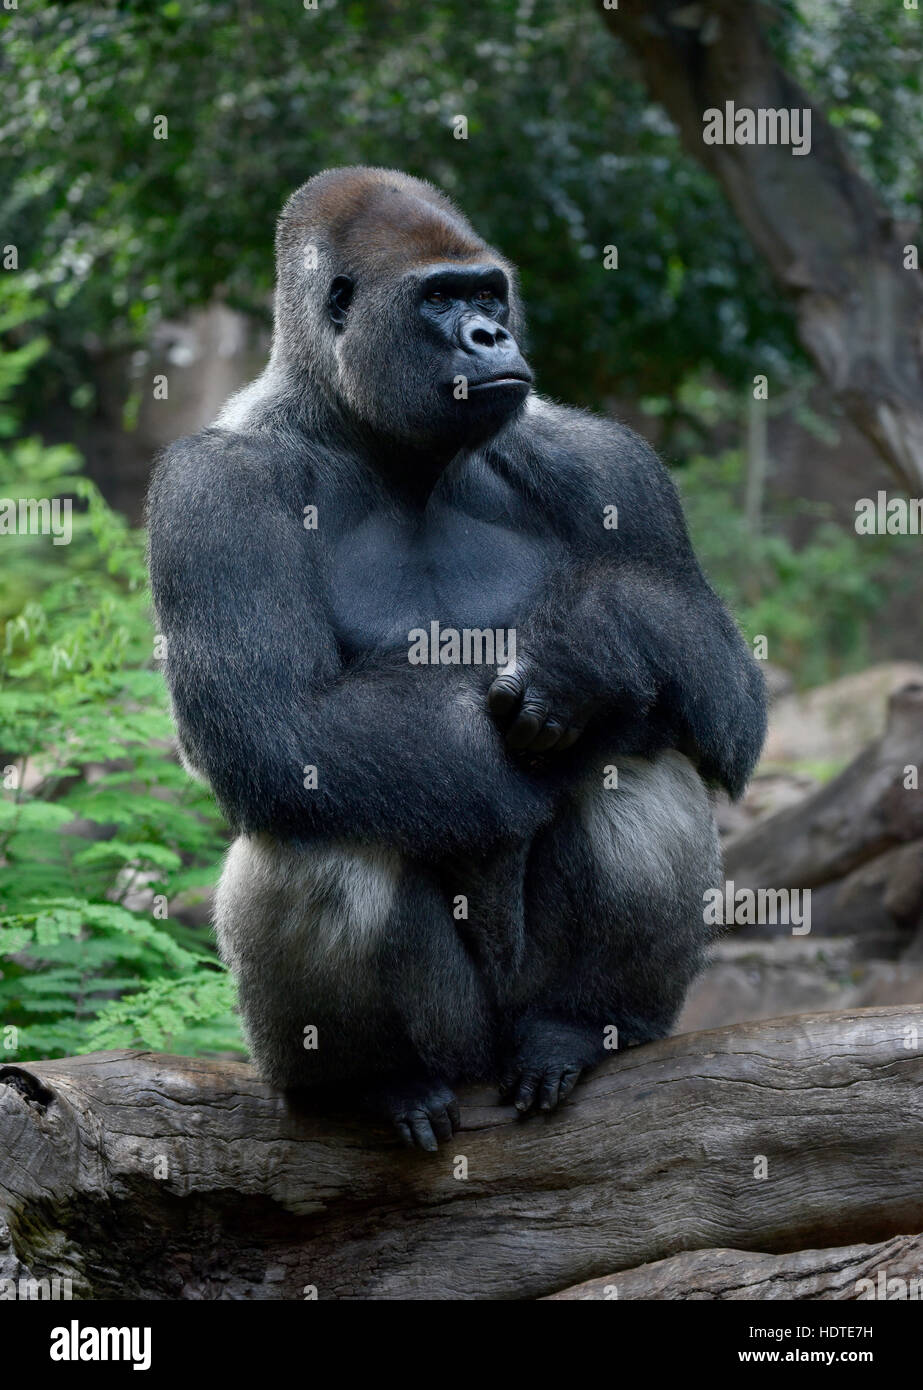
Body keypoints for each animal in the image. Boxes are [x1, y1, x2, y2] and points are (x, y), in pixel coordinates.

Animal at [146, 167, 766, 1151]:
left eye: (487, 293)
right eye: (438, 299)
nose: (490, 335)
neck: (356, 427)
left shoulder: (609, 462)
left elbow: (723, 693)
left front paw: (595, 646)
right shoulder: (211, 492)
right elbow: (279, 724)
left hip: (526, 1018)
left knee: (639, 763)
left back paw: (581, 1025)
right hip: (442, 1038)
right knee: (322, 826)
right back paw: (375, 1080)